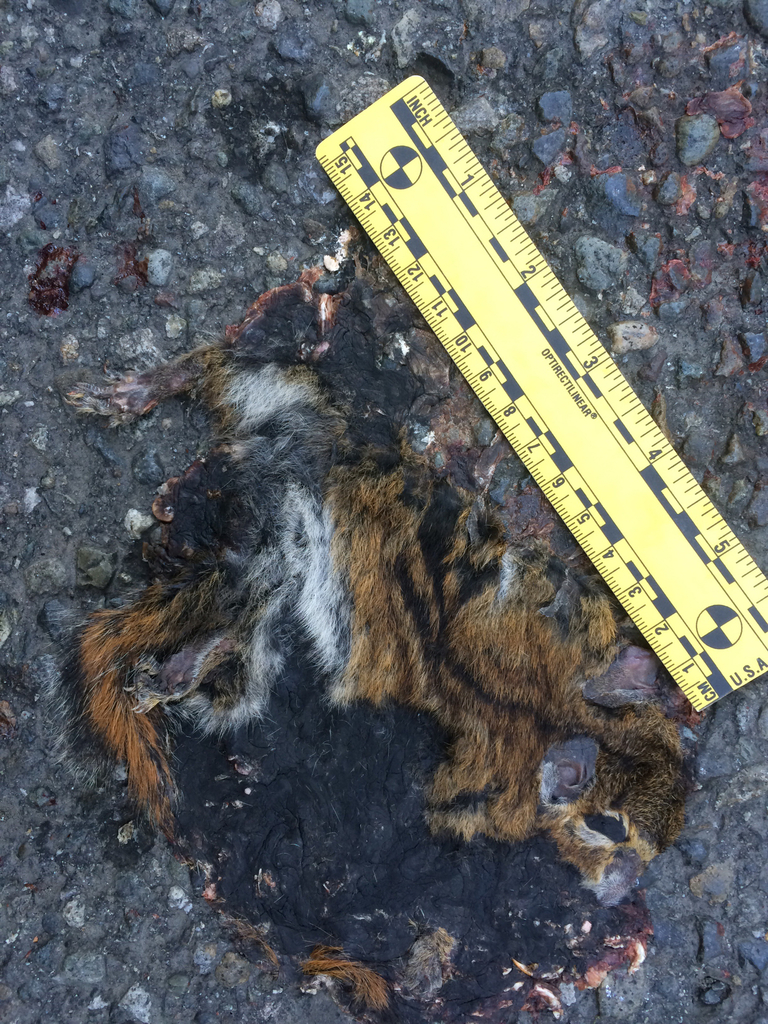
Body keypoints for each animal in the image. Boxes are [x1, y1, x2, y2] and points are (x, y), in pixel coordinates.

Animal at [53, 266, 687, 907]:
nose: (619, 895)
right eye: (609, 829)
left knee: (236, 623)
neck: (564, 714)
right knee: (209, 365)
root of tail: (269, 472)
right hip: (285, 415)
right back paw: (123, 398)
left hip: (269, 561)